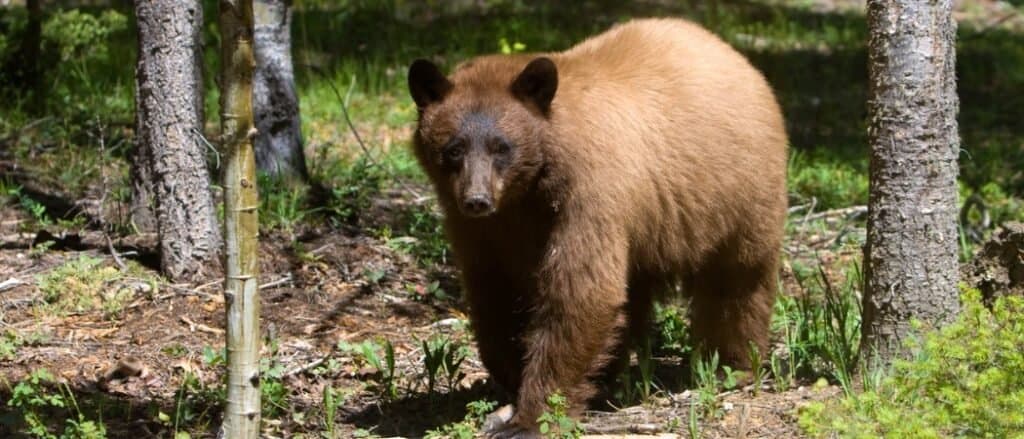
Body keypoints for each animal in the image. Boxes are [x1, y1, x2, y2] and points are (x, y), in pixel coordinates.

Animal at [407, 18, 787, 438]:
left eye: (501, 147)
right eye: (454, 148)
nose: (477, 199)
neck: (531, 189)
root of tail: (736, 57)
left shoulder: (590, 194)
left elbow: (581, 292)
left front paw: (530, 416)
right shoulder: (481, 228)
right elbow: (495, 292)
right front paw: (508, 382)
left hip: (739, 193)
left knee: (736, 280)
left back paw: (730, 366)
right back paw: (609, 378)